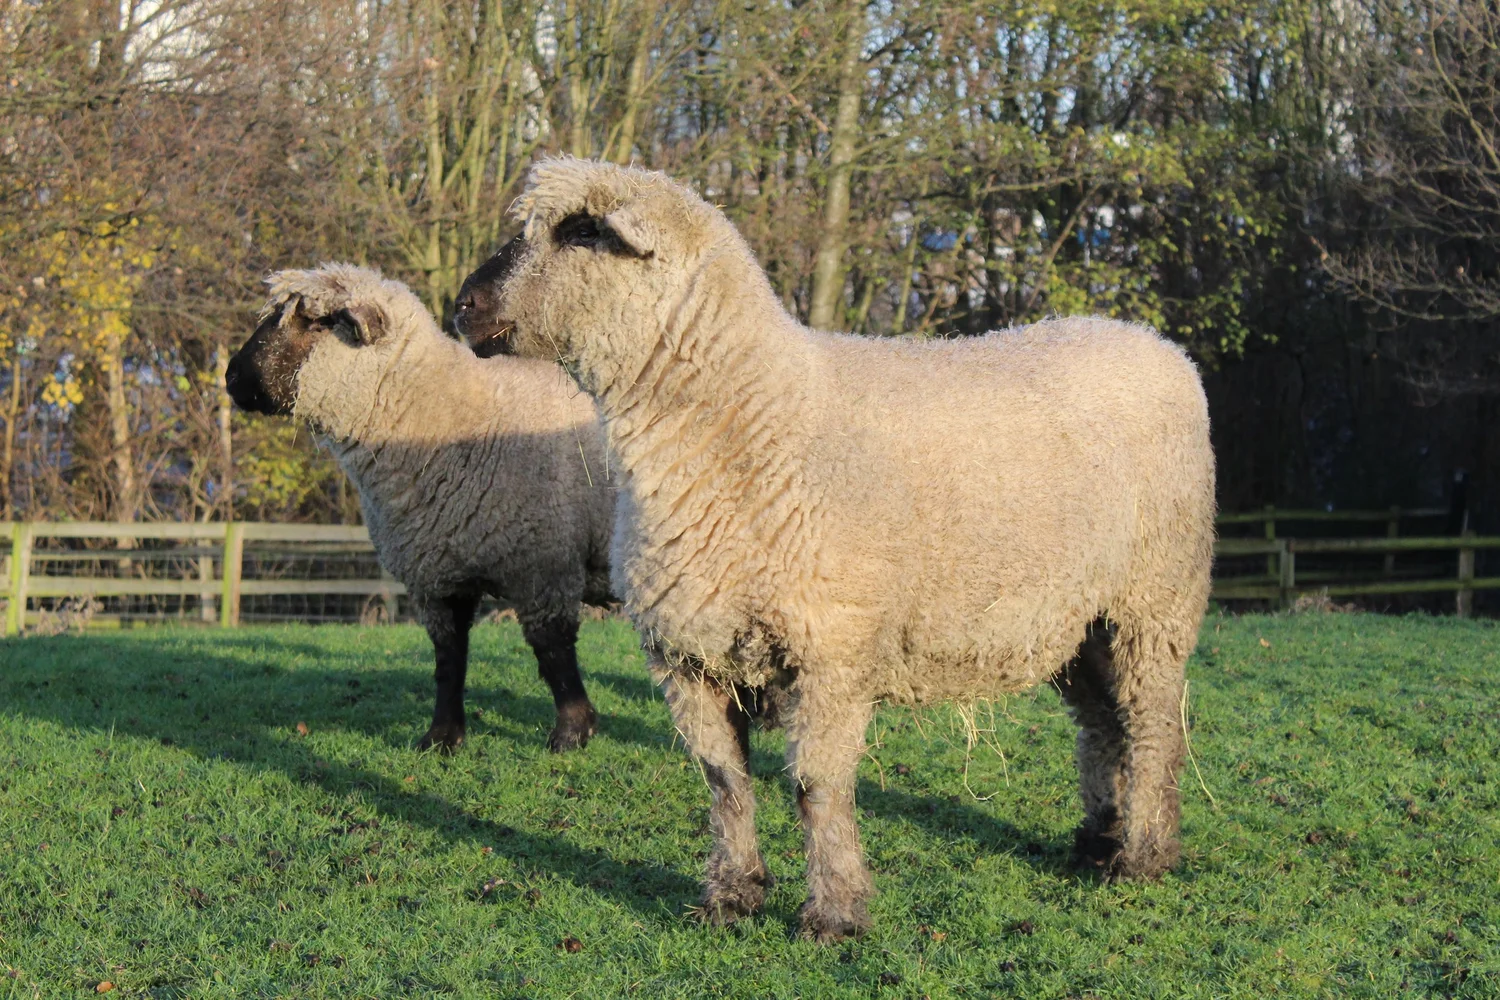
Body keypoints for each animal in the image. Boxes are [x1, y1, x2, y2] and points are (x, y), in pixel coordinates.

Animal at [224, 262, 615, 754]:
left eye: (315, 321)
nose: (230, 377)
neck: (444, 414)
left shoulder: (544, 565)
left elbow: (553, 652)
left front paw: (572, 731)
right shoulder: (439, 575)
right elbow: (449, 661)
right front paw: (442, 737)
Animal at [457, 157, 1216, 942]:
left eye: (581, 231)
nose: (463, 305)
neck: (752, 417)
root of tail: (1156, 343)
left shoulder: (831, 649)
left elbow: (816, 785)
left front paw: (833, 912)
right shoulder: (689, 654)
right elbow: (724, 783)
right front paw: (731, 896)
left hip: (1154, 601)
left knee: (1153, 726)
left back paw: (1143, 855)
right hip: (1076, 620)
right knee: (1103, 721)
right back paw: (1098, 841)